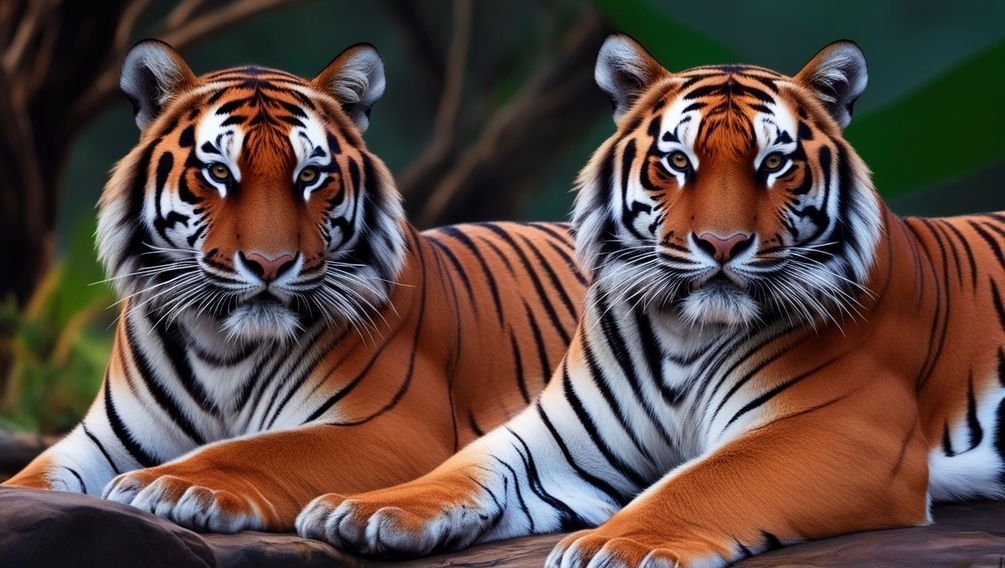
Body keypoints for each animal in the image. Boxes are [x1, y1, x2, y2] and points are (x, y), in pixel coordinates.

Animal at [2, 39, 587, 534]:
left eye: (310, 175)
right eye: (218, 172)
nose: (271, 263)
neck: (220, 344)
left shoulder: (394, 426)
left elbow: (257, 449)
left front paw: (169, 483)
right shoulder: (96, 441)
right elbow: (31, 479)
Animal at [294, 34, 1005, 567]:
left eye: (775, 163)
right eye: (678, 161)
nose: (722, 244)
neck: (685, 333)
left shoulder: (836, 429)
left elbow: (702, 481)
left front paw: (615, 546)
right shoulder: (561, 433)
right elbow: (469, 464)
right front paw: (368, 507)